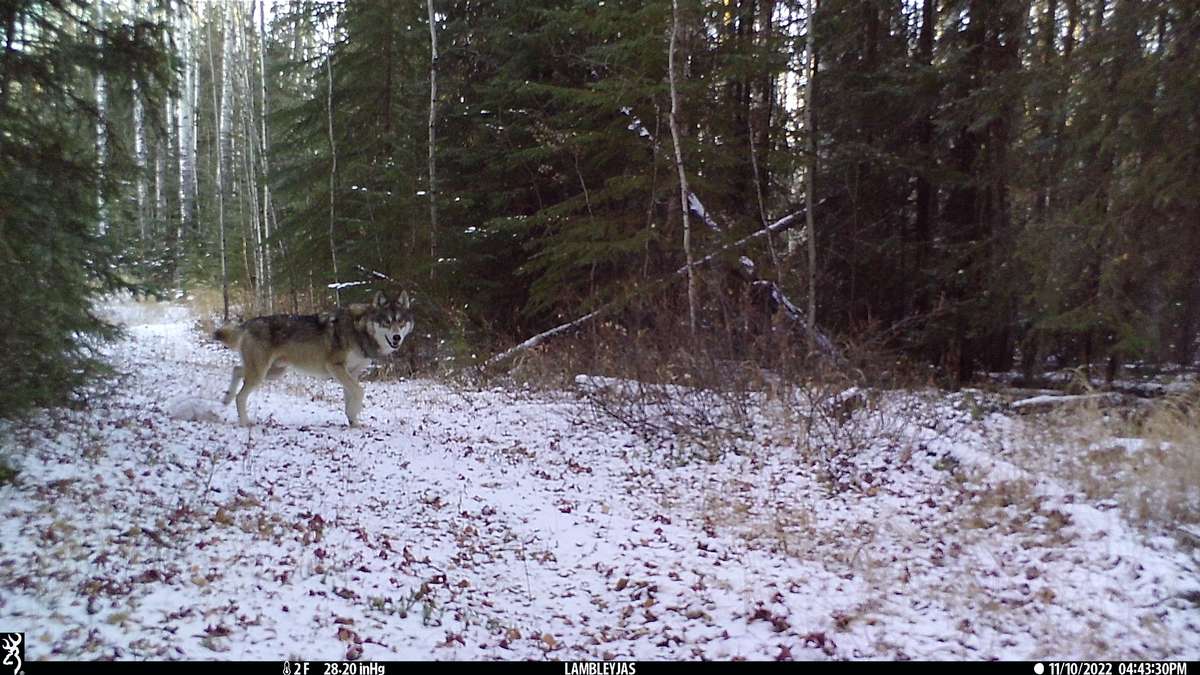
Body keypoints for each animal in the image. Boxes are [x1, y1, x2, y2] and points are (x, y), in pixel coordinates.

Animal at [213, 290, 414, 427]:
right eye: (386, 322)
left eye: (401, 322)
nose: (397, 337)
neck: (360, 329)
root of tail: (247, 323)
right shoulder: (336, 367)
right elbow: (359, 392)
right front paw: (353, 417)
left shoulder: (352, 373)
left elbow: (350, 396)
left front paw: (353, 422)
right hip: (261, 373)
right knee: (241, 395)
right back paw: (244, 421)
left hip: (272, 372)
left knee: (236, 370)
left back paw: (226, 398)